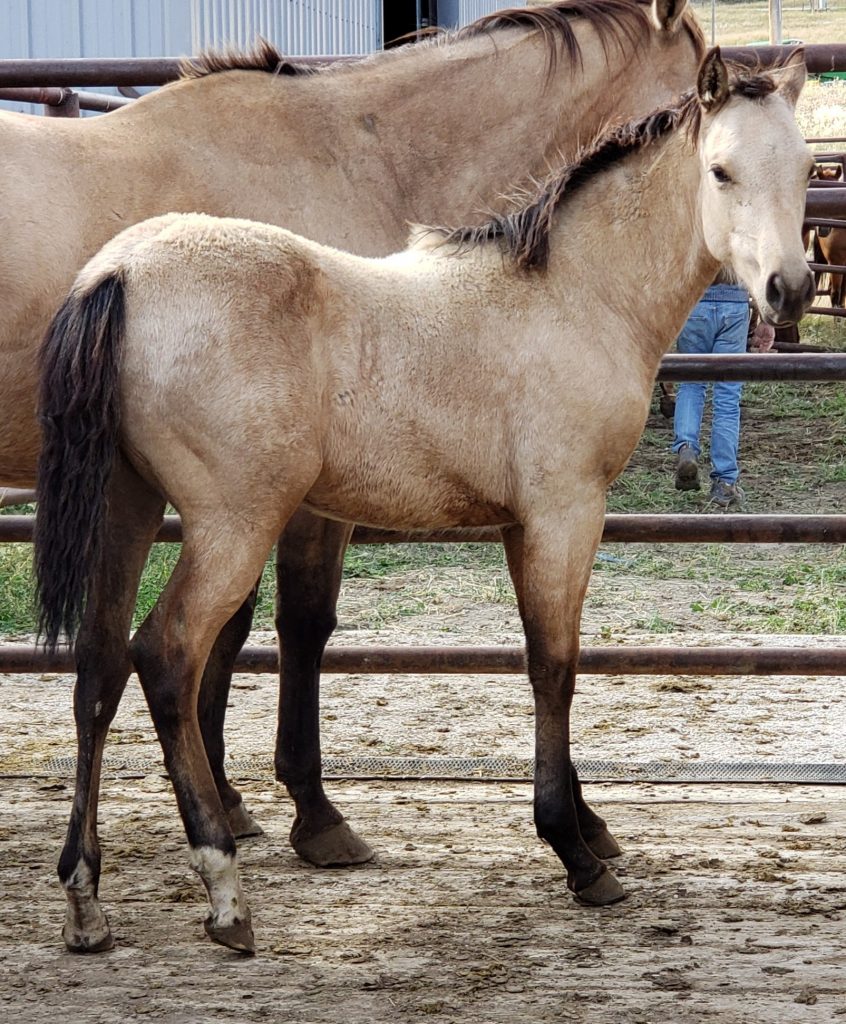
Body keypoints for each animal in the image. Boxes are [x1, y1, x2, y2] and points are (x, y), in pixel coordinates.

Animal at [35, 48, 814, 954]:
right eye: (721, 171)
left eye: (806, 168)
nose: (789, 290)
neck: (574, 295)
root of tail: (117, 273)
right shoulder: (566, 513)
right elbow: (557, 667)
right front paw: (577, 855)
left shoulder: (523, 524)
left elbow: (546, 660)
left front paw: (587, 825)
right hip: (232, 524)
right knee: (165, 657)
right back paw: (225, 887)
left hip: (124, 508)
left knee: (98, 668)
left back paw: (85, 901)